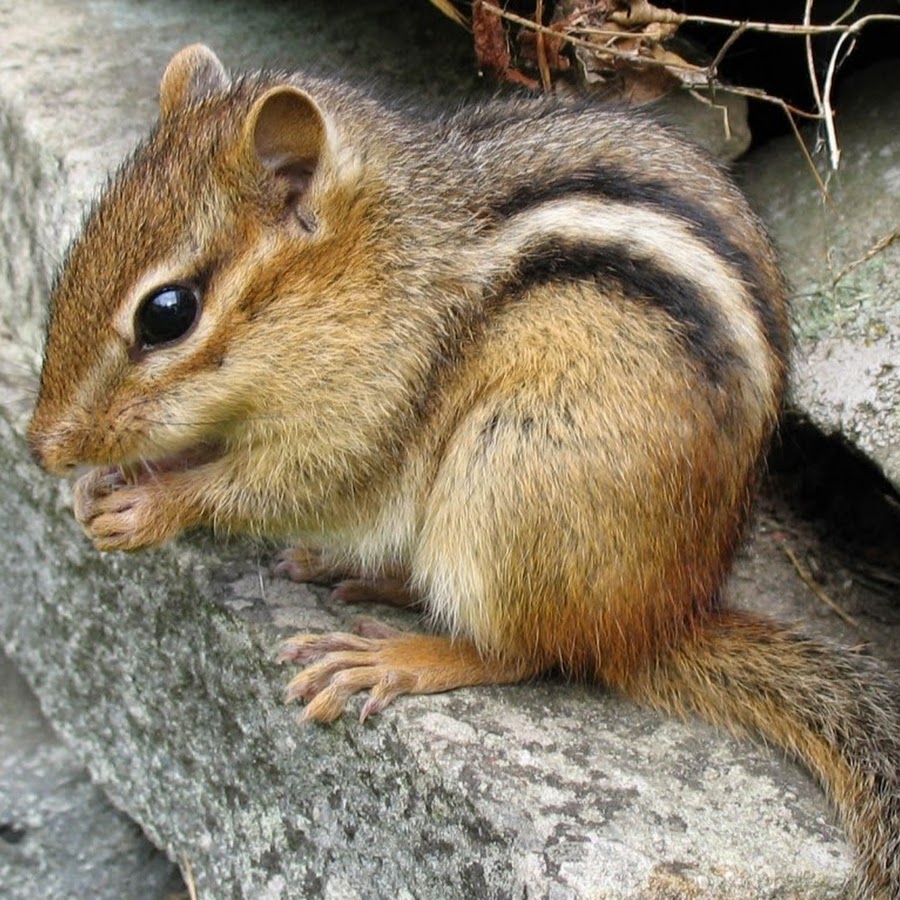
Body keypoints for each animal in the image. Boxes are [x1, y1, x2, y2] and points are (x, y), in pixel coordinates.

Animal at [26, 44, 899, 897]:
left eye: (167, 313)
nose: (42, 448)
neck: (372, 264)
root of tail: (664, 618)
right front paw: (103, 484)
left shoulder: (365, 406)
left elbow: (288, 483)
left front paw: (155, 502)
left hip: (510, 478)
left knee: (524, 651)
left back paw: (398, 658)